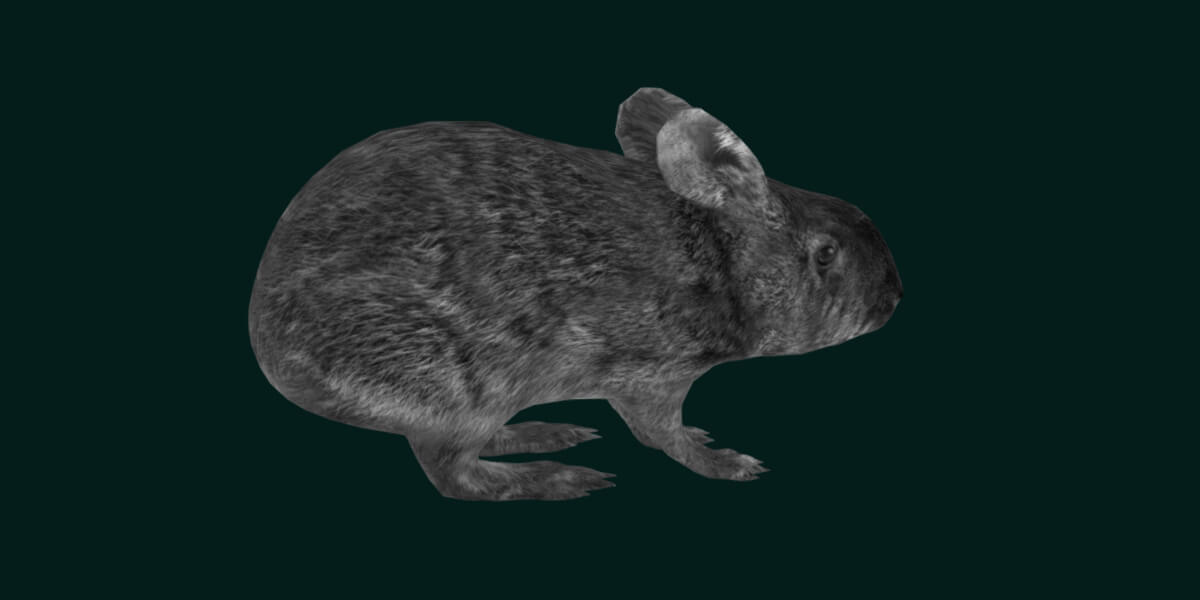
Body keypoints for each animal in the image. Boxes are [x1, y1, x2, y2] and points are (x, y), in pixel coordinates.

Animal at [248, 88, 902, 501]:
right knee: (453, 473)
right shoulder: (650, 375)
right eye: (825, 254)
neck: (718, 261)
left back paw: (547, 433)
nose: (894, 296)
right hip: (457, 381)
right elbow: (659, 434)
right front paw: (727, 464)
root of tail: (271, 351)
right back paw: (560, 475)